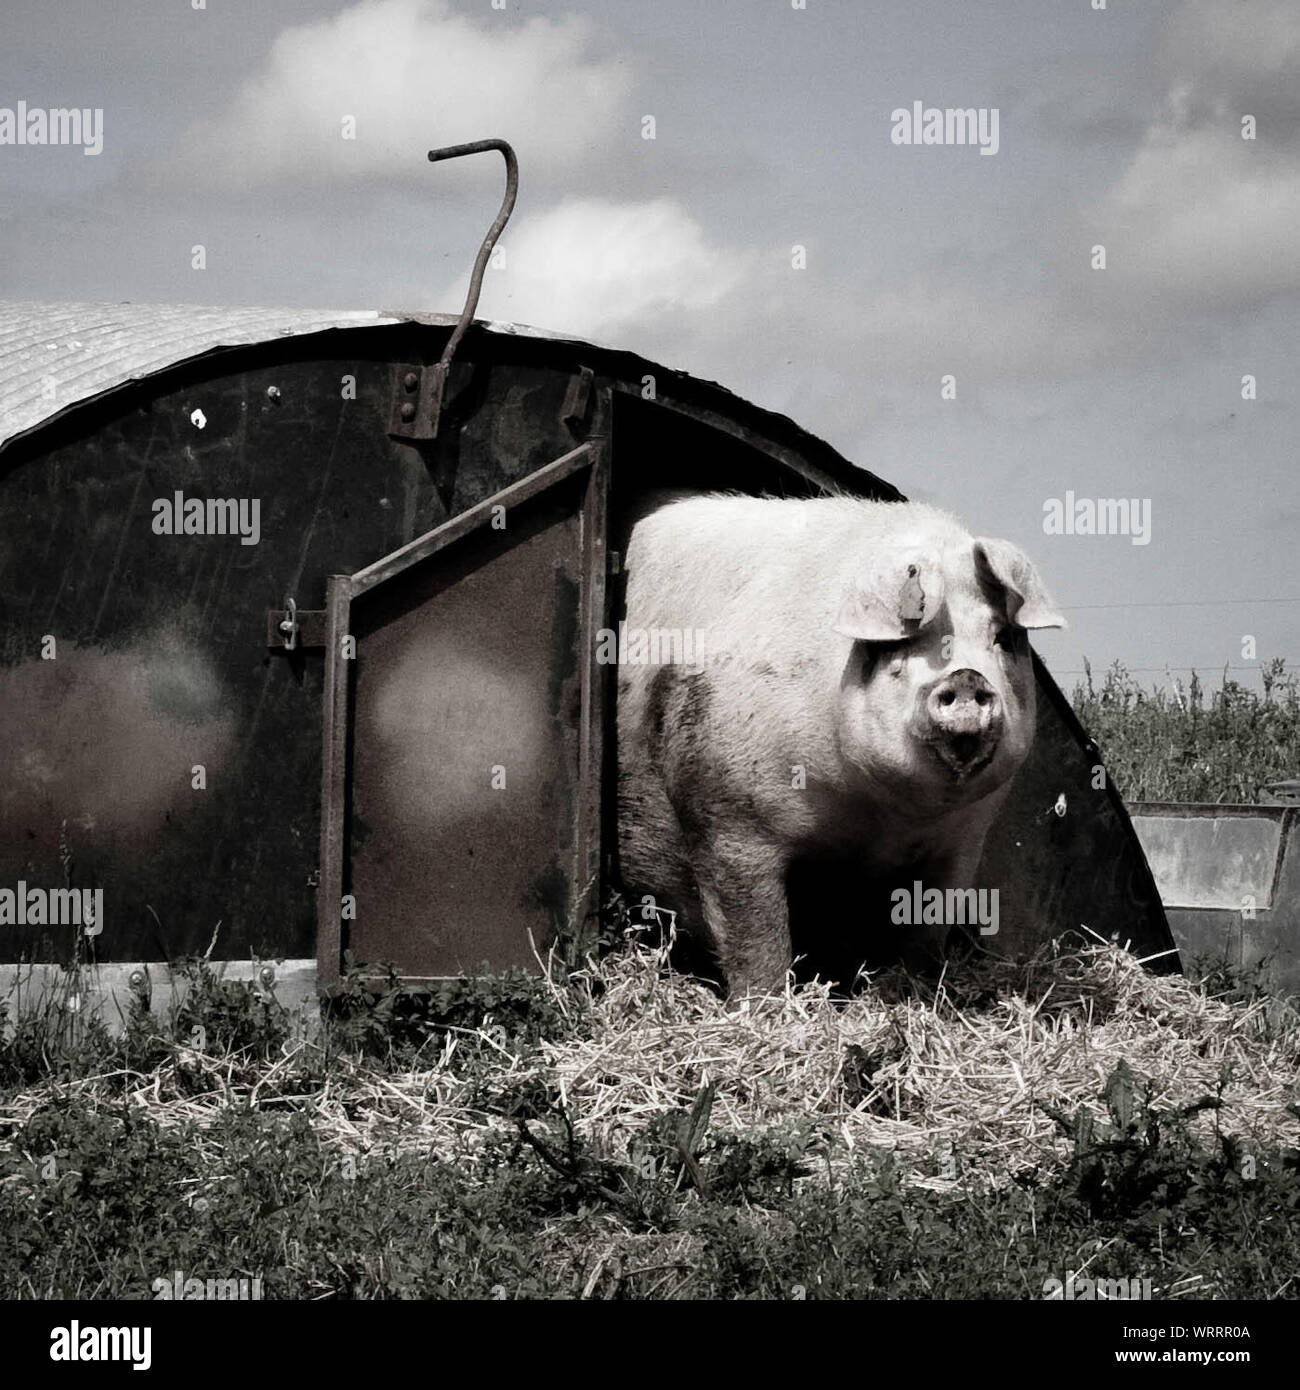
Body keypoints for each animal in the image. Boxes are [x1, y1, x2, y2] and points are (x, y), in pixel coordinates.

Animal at [615, 494, 1065, 998]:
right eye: (897, 644)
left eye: (1002, 638)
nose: (967, 677)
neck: (884, 818)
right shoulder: (730, 816)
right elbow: (757, 940)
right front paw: (765, 1003)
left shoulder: (962, 844)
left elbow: (924, 937)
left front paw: (908, 991)